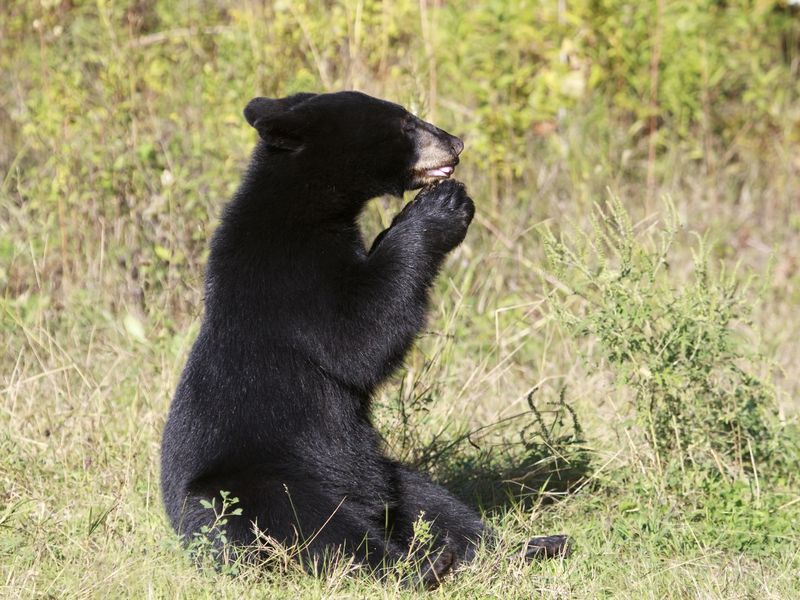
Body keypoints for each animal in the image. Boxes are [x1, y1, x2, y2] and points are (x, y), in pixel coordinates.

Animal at [160, 91, 568, 587]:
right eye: (407, 122)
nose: (455, 142)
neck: (303, 205)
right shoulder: (290, 275)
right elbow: (358, 336)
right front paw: (440, 209)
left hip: (381, 472)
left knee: (432, 503)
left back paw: (528, 547)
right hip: (254, 485)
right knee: (316, 528)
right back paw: (420, 568)